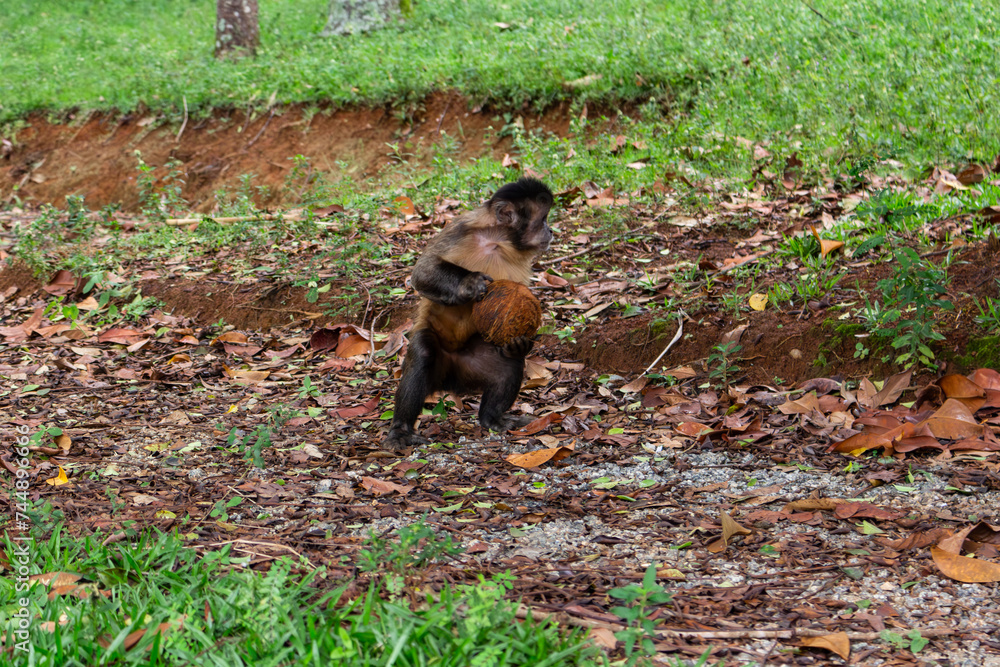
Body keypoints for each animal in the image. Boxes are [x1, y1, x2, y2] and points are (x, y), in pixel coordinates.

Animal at [383, 177, 554, 450]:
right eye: (543, 219)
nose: (551, 231)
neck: (497, 240)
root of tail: (453, 381)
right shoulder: (460, 229)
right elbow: (422, 272)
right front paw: (469, 284)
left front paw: (522, 342)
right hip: (440, 356)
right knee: (423, 353)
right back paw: (401, 429)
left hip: (473, 362)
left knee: (508, 363)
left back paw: (492, 417)